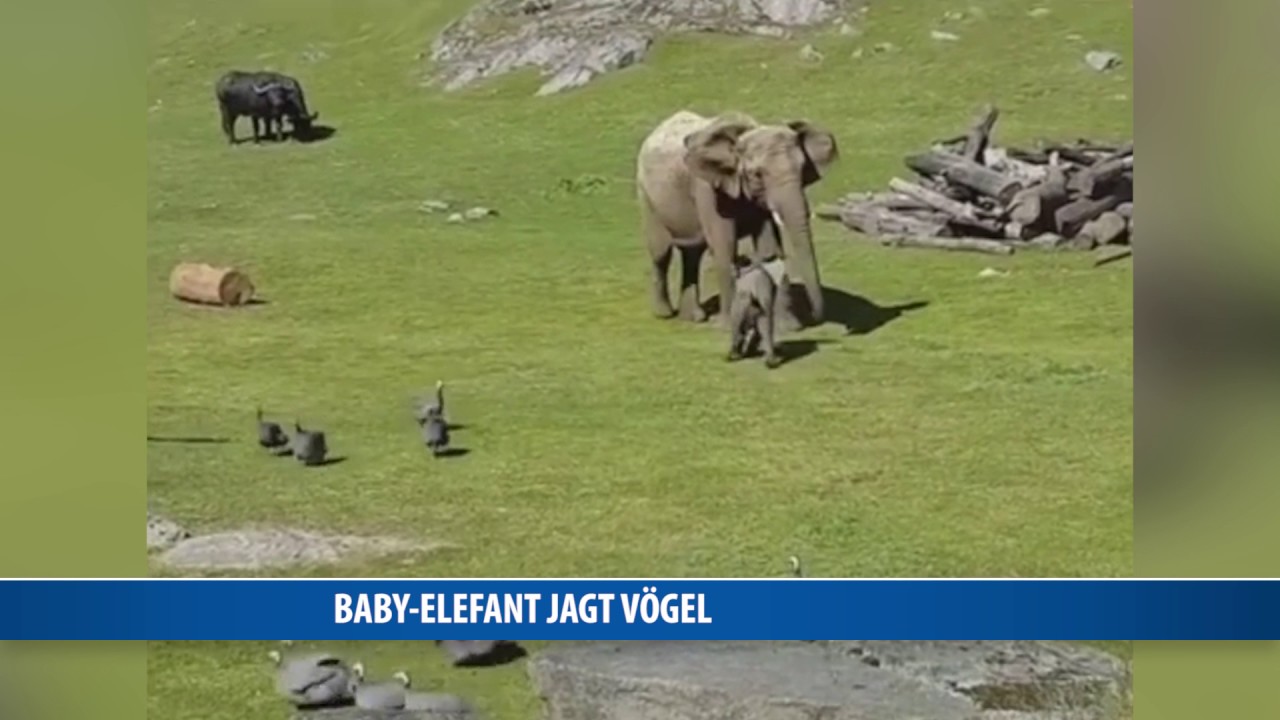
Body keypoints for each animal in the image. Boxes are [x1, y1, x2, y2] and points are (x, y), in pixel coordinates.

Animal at [635, 110, 839, 328]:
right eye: (757, 174)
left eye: (802, 169)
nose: (815, 317)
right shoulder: (708, 189)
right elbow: (725, 248)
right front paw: (727, 326)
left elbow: (769, 251)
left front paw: (786, 326)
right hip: (647, 199)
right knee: (661, 253)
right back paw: (664, 314)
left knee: (693, 253)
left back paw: (693, 318)